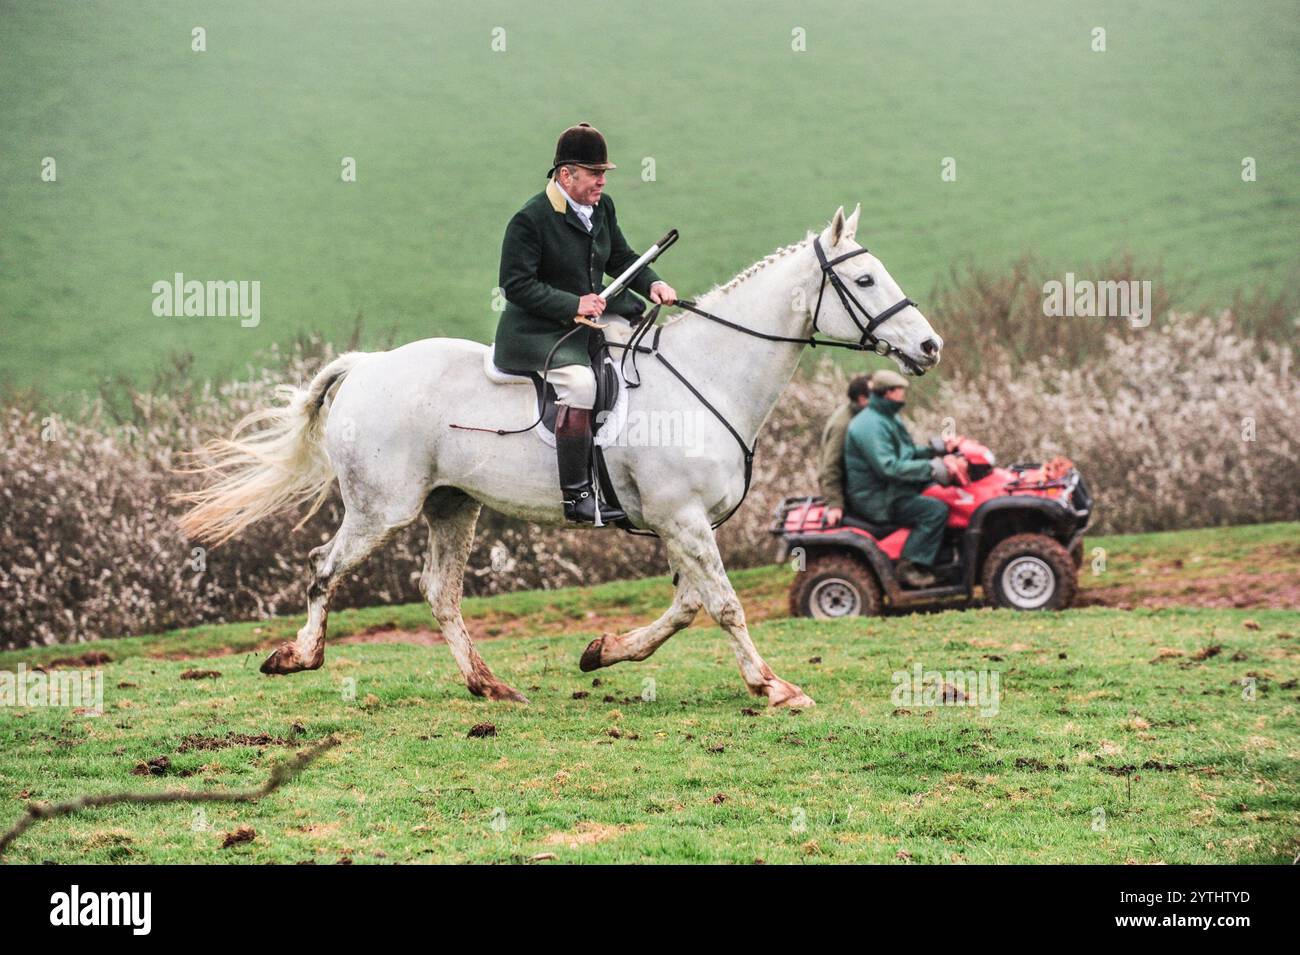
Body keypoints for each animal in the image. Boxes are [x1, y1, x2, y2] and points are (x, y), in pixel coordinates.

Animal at [176, 204, 943, 707]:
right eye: (865, 281)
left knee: (439, 592)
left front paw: (605, 651)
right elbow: (724, 605)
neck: (711, 374)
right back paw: (297, 656)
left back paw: (488, 684)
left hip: (452, 506)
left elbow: (689, 606)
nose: (930, 346)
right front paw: (773, 686)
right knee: (324, 567)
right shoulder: (683, 518)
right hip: (379, 507)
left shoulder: (685, 524)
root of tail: (366, 366)